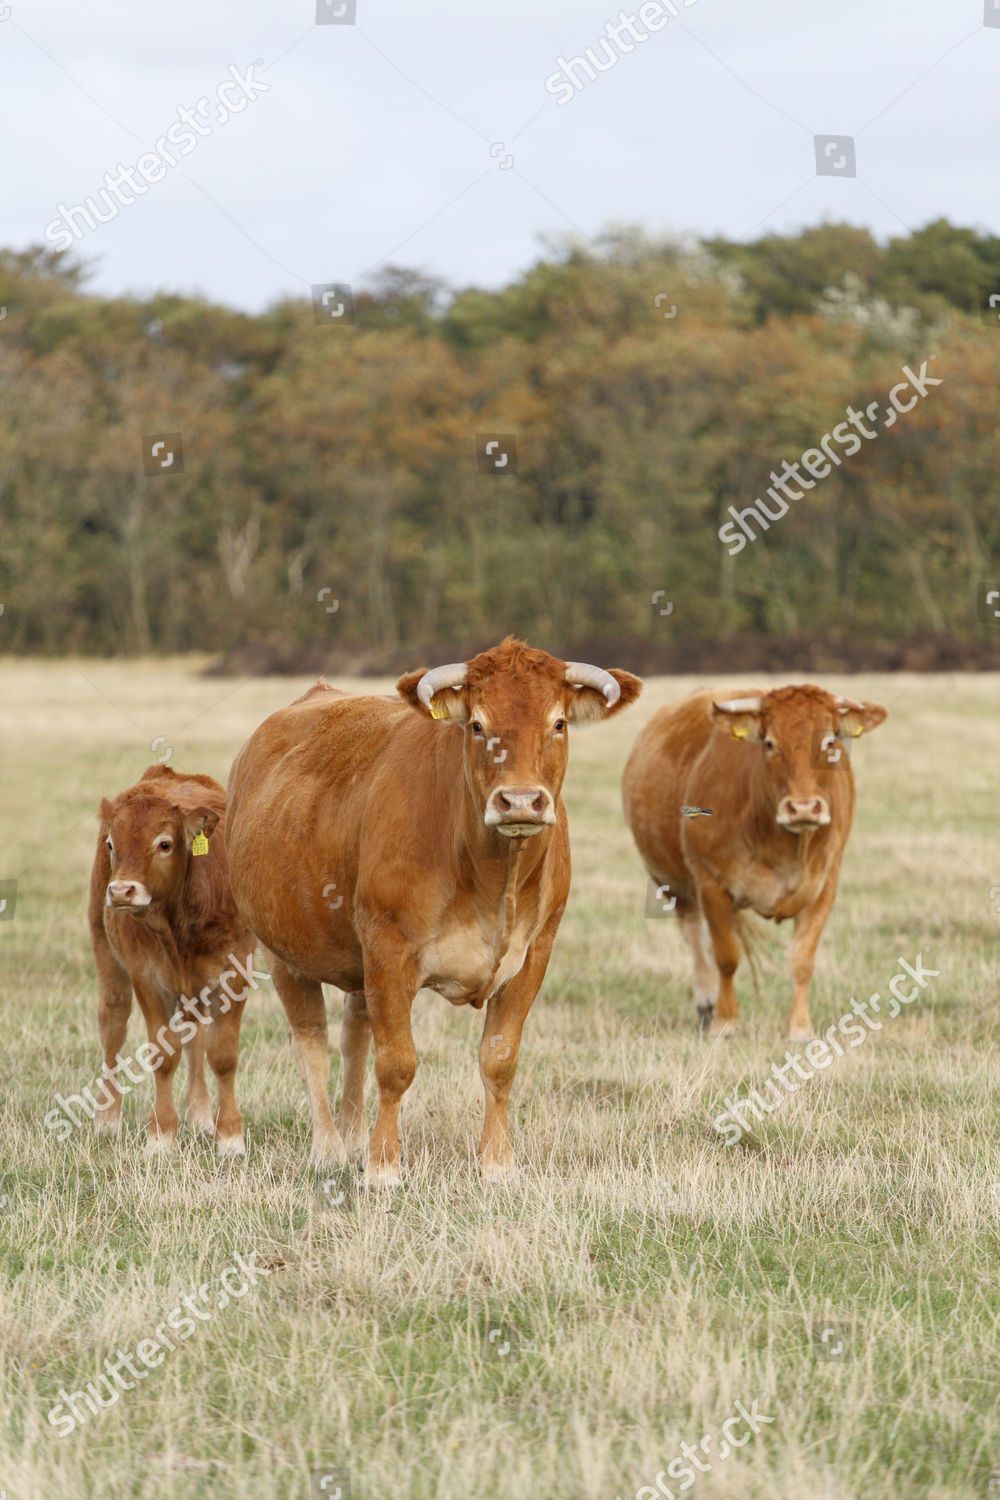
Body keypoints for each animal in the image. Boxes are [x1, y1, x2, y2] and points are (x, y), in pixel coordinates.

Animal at [88, 765, 254, 1154]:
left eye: (164, 844)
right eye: (111, 845)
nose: (121, 891)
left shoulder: (235, 973)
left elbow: (222, 1054)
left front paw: (229, 1136)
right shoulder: (147, 978)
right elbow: (164, 1057)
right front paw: (161, 1136)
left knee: (196, 1034)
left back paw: (199, 1114)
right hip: (107, 955)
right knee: (113, 1028)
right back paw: (107, 1120)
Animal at [225, 638, 642, 1187]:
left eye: (558, 723)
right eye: (477, 725)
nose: (520, 801)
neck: (492, 882)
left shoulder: (535, 954)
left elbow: (499, 1060)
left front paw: (497, 1164)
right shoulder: (388, 948)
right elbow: (396, 1063)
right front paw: (383, 1167)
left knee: (353, 1036)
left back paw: (354, 1138)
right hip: (284, 952)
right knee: (311, 1043)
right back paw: (330, 1149)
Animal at [622, 684, 887, 1040]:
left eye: (830, 741)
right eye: (770, 743)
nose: (804, 808)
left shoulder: (825, 884)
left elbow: (802, 959)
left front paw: (799, 1028)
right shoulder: (711, 884)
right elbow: (726, 957)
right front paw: (725, 1022)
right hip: (672, 883)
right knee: (695, 938)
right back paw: (707, 1004)